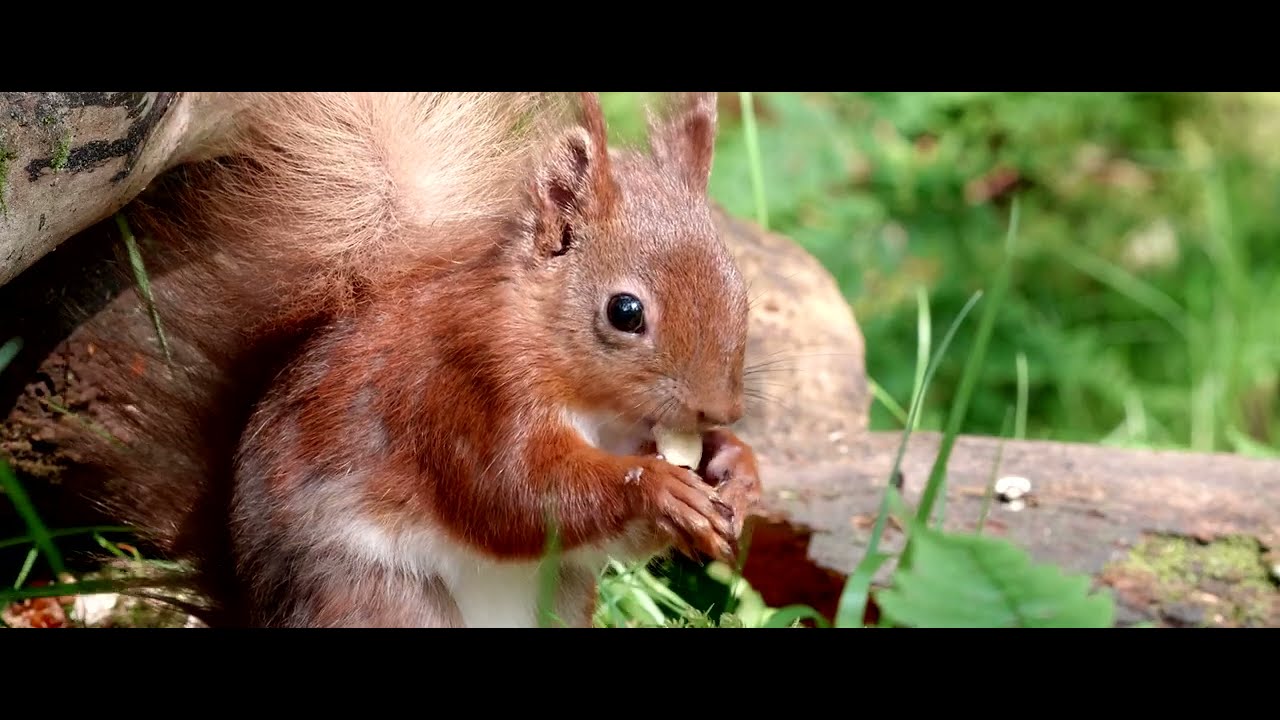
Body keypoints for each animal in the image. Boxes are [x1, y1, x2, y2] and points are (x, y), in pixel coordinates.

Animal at [35, 91, 763, 628]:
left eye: (741, 286)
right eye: (625, 312)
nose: (720, 409)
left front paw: (736, 470)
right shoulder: (463, 390)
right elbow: (517, 497)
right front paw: (659, 487)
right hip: (378, 599)